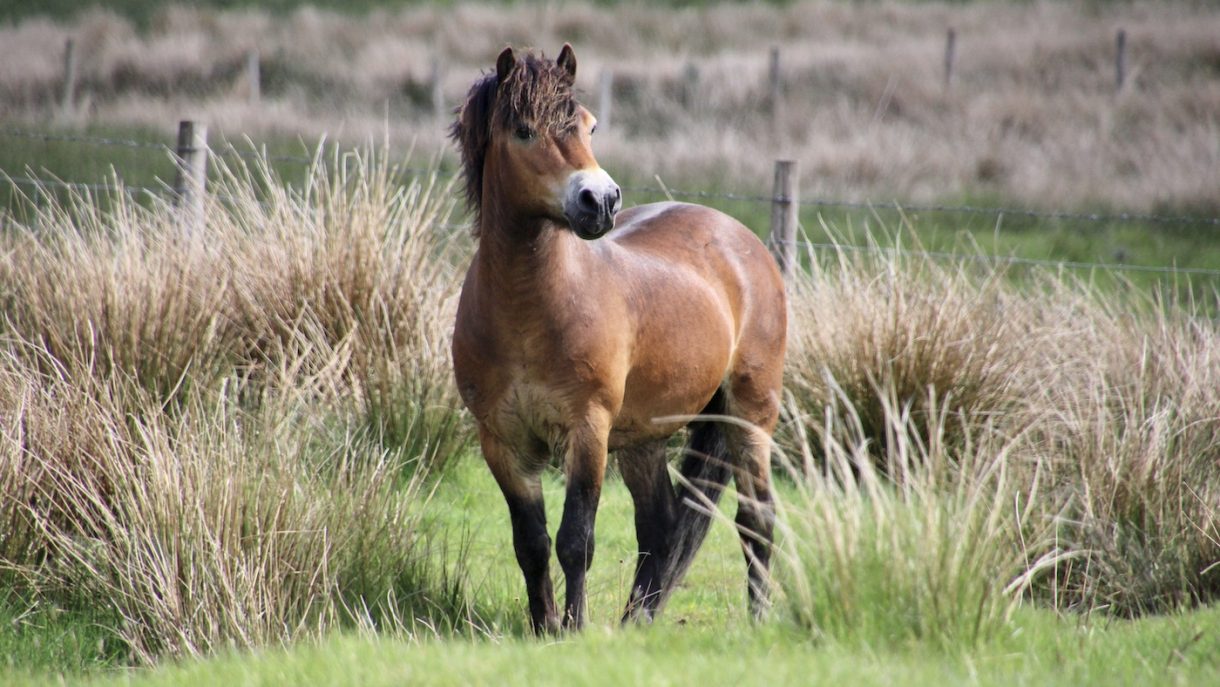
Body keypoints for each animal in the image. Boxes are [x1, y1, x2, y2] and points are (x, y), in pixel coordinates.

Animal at [449, 44, 787, 634]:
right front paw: (543, 627)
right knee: (661, 524)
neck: (528, 312)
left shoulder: (588, 431)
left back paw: (757, 619)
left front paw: (573, 629)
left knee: (756, 517)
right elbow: (531, 544)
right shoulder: (502, 442)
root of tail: (742, 240)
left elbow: (575, 542)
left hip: (749, 414)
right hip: (644, 437)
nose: (600, 200)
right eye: (523, 130)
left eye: (589, 125)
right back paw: (637, 621)